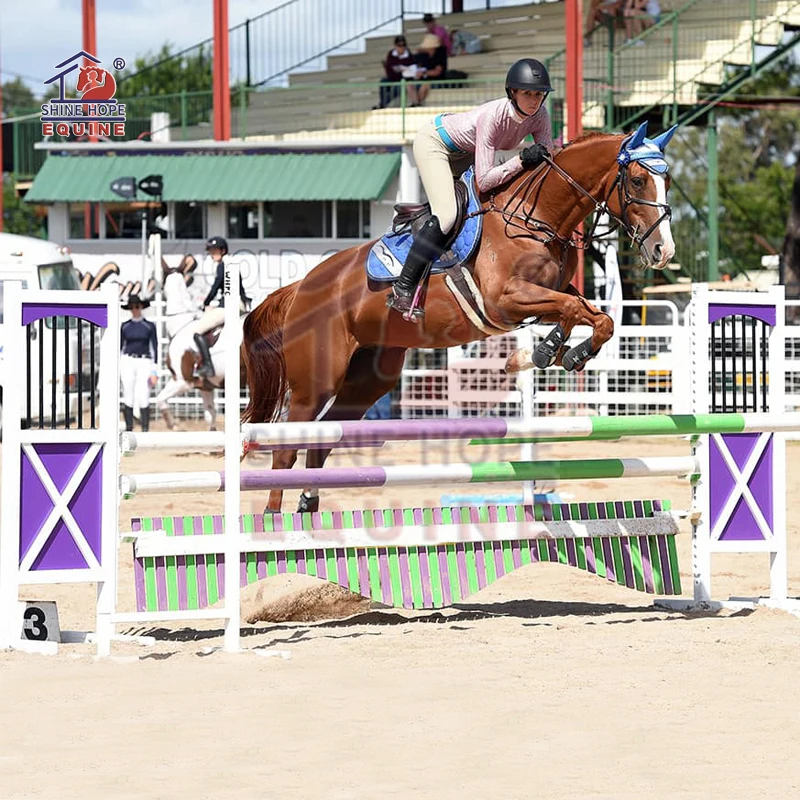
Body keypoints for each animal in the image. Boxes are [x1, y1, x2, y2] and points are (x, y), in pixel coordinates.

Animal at [241, 123, 677, 513]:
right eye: (638, 180)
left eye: (667, 179)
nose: (664, 251)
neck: (535, 216)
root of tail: (301, 287)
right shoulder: (504, 300)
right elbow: (573, 309)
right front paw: (546, 353)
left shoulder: (547, 294)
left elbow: (594, 315)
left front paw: (555, 354)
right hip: (315, 383)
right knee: (285, 453)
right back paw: (277, 524)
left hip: (367, 381)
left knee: (321, 443)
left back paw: (309, 511)